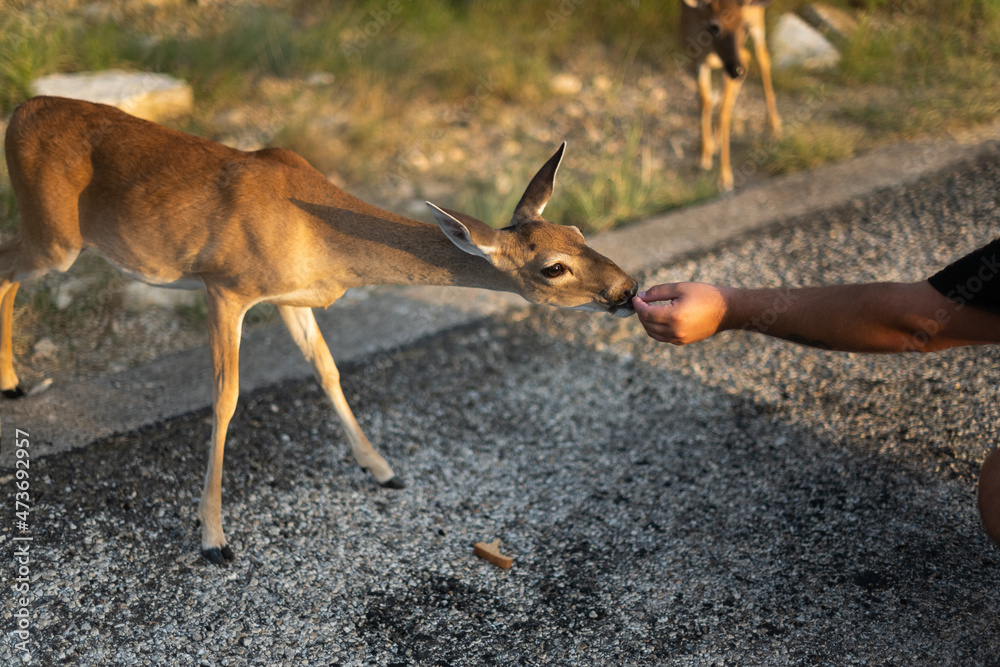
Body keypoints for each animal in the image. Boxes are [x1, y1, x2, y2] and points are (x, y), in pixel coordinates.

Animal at [2, 96, 638, 565]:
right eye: (553, 267)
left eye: (579, 231)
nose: (628, 289)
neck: (321, 240)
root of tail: (21, 109)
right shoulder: (226, 287)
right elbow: (226, 397)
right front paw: (214, 538)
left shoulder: (292, 297)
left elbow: (327, 368)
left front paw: (381, 469)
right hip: (56, 237)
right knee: (7, 265)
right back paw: (12, 382)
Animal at [679, 0, 782, 190]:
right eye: (714, 27)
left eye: (745, 26)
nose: (738, 70)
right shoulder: (696, 60)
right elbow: (704, 101)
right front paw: (703, 156)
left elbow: (723, 112)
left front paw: (725, 177)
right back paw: (714, 143)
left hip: (758, 24)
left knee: (762, 57)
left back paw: (775, 127)